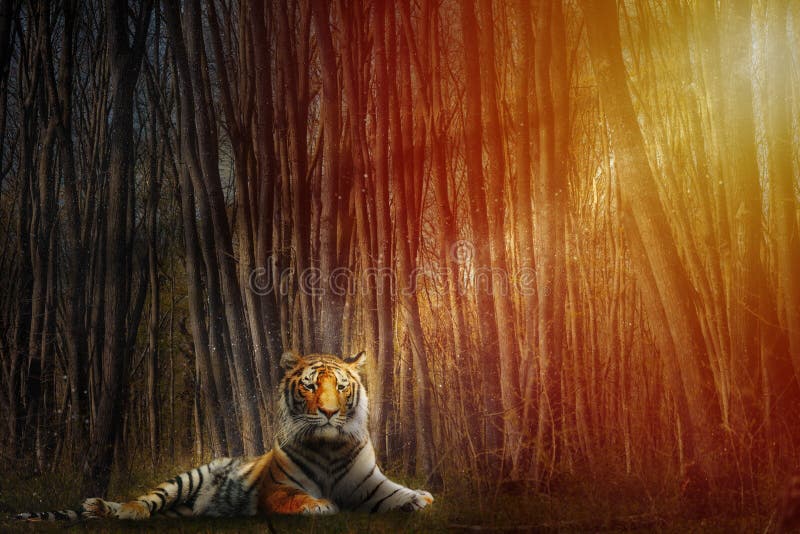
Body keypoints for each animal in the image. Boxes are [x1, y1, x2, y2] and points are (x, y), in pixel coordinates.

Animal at [15, 350, 433, 521]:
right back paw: (123, 511)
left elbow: (397, 494)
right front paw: (319, 505)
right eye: (311, 386)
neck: (329, 448)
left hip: (184, 506)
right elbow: (295, 496)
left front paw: (421, 498)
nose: (330, 413)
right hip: (183, 481)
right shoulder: (275, 488)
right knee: (146, 500)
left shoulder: (371, 484)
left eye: (342, 387)